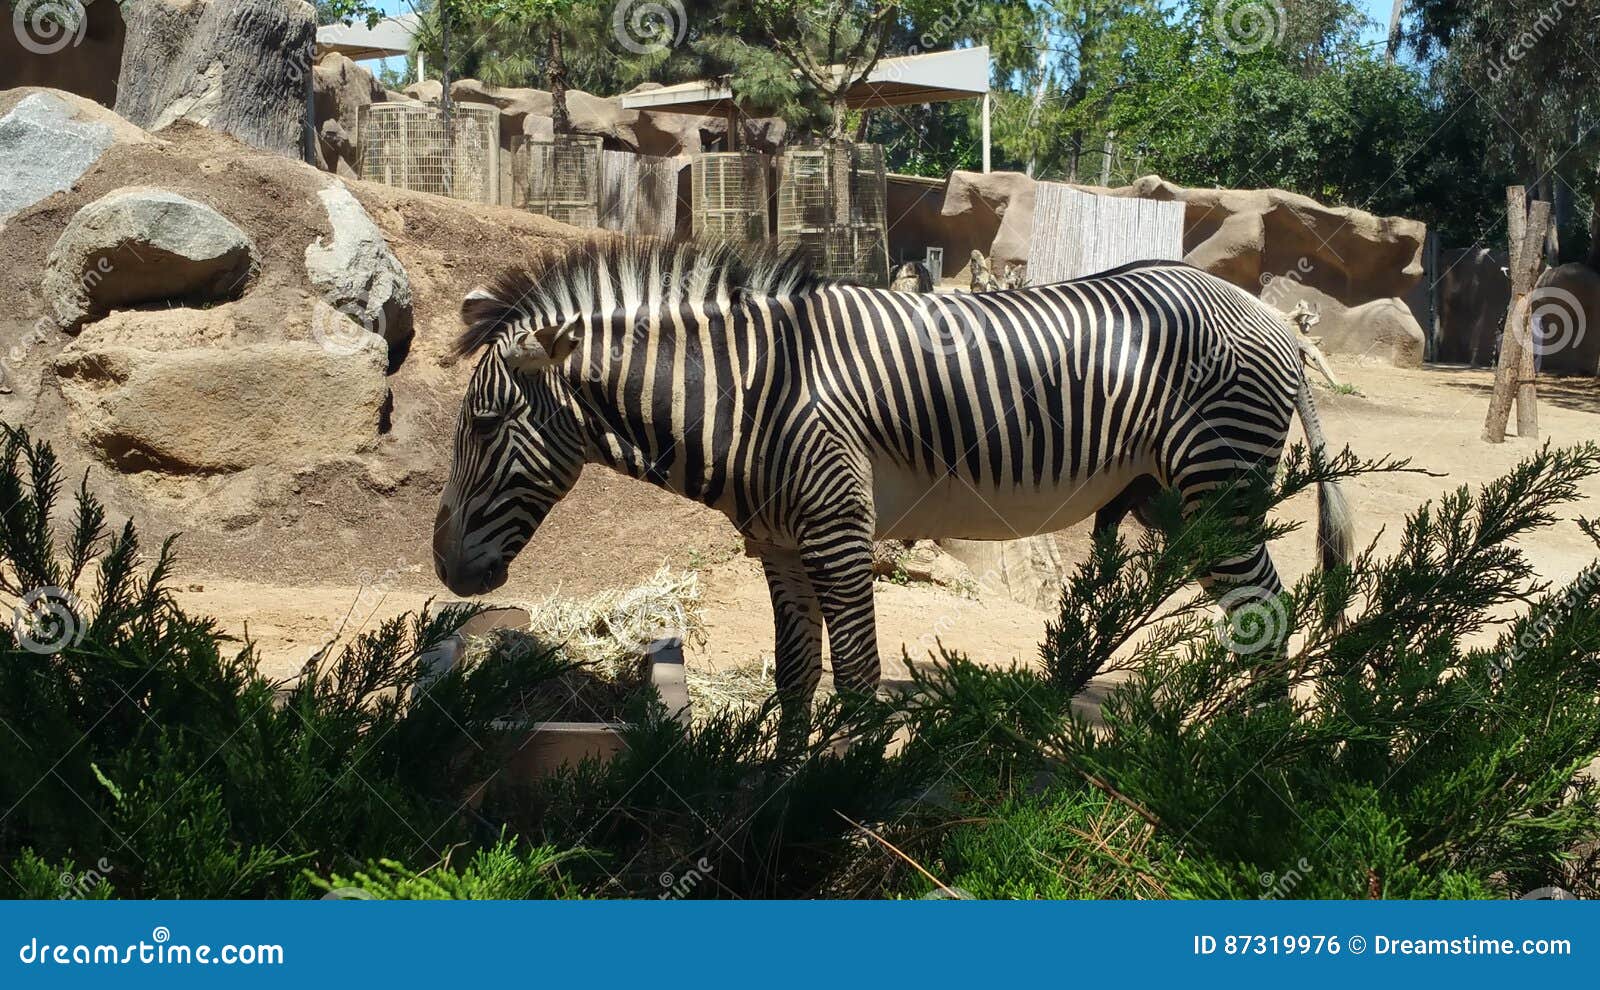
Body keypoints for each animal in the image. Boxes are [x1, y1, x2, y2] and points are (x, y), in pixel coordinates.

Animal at [432, 238, 1352, 702]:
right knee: (1248, 617)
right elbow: (797, 677)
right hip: (1172, 500)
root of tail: (1262, 310)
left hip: (1220, 481)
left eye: (484, 425)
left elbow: (859, 676)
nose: (443, 567)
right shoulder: (779, 545)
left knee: (1268, 614)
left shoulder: (839, 534)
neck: (754, 390)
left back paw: (1245, 758)